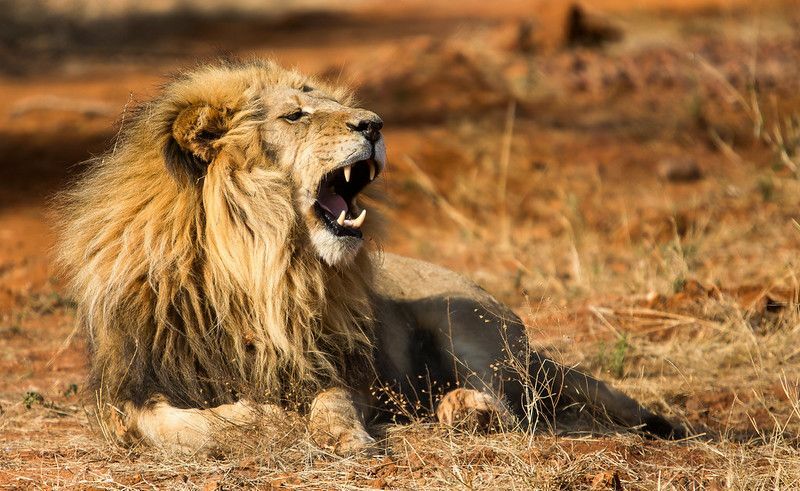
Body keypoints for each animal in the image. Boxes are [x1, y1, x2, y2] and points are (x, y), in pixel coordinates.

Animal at [56, 59, 680, 456]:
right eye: (294, 116)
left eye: (334, 104)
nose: (375, 125)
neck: (254, 270)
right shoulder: (126, 392)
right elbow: (169, 423)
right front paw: (264, 418)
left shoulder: (335, 367)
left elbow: (332, 402)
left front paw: (343, 435)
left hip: (465, 319)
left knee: (508, 405)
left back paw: (462, 410)